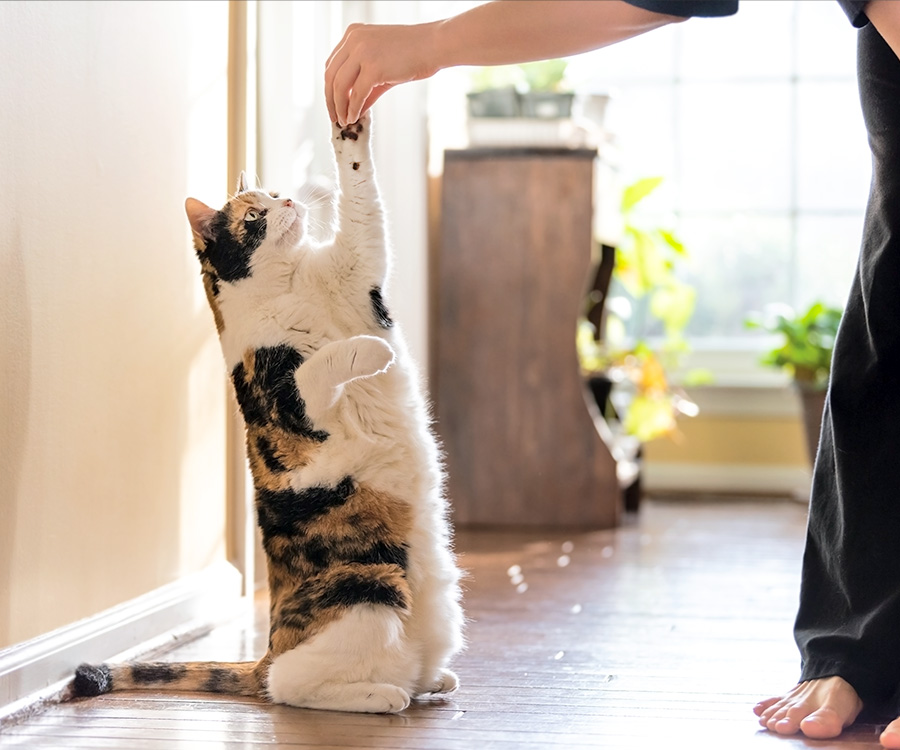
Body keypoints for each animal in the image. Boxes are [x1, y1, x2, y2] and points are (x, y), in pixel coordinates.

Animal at [70, 113, 464, 716]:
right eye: (253, 215)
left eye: (275, 193)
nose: (289, 201)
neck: (293, 283)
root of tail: (268, 648)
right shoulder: (286, 405)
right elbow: (322, 364)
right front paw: (371, 352)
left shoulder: (358, 264)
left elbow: (360, 195)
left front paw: (350, 128)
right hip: (368, 585)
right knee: (291, 685)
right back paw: (382, 695)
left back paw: (433, 681)